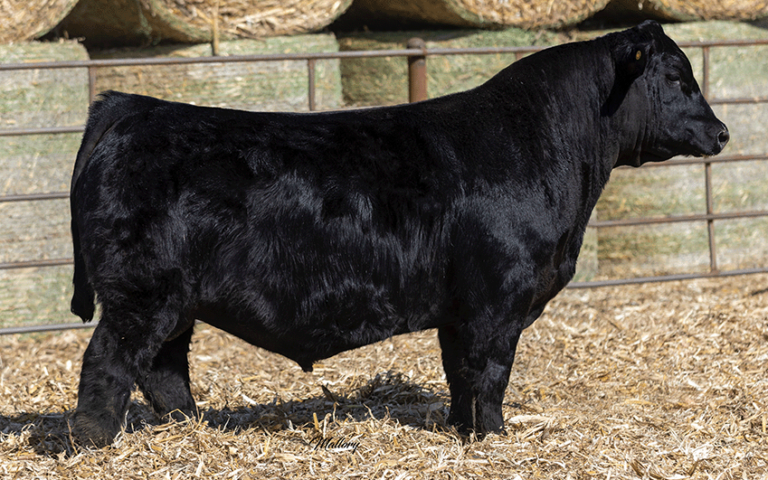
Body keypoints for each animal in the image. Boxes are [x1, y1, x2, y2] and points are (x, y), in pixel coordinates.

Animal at [69, 20, 728, 447]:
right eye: (677, 77)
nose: (721, 132)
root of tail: (133, 105)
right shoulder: (497, 301)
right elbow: (490, 373)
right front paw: (493, 437)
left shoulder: (460, 309)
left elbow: (461, 374)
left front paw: (465, 431)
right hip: (141, 293)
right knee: (109, 362)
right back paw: (94, 444)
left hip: (175, 299)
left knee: (162, 368)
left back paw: (192, 429)